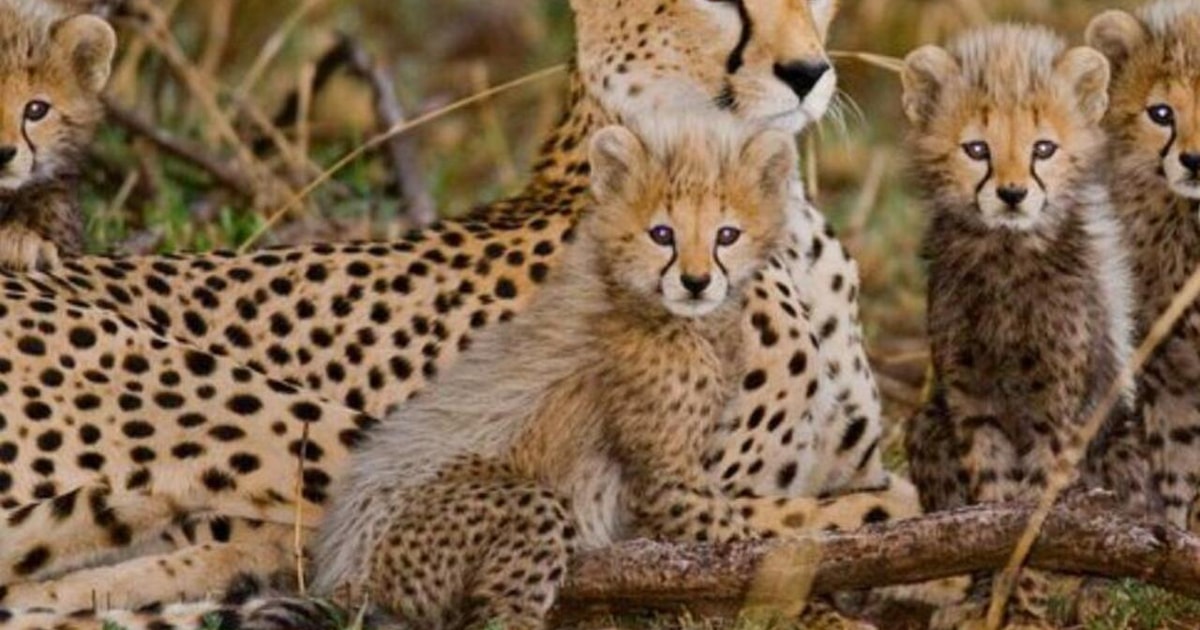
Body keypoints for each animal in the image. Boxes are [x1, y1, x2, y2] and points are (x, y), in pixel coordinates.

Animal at [900, 24, 1154, 628]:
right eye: (977, 149)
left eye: (1044, 148)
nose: (1013, 194)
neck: (1008, 256)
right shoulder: (971, 399)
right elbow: (993, 504)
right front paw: (992, 598)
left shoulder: (1056, 412)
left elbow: (1037, 510)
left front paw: (1027, 609)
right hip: (927, 426)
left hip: (1122, 443)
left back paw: (1096, 593)